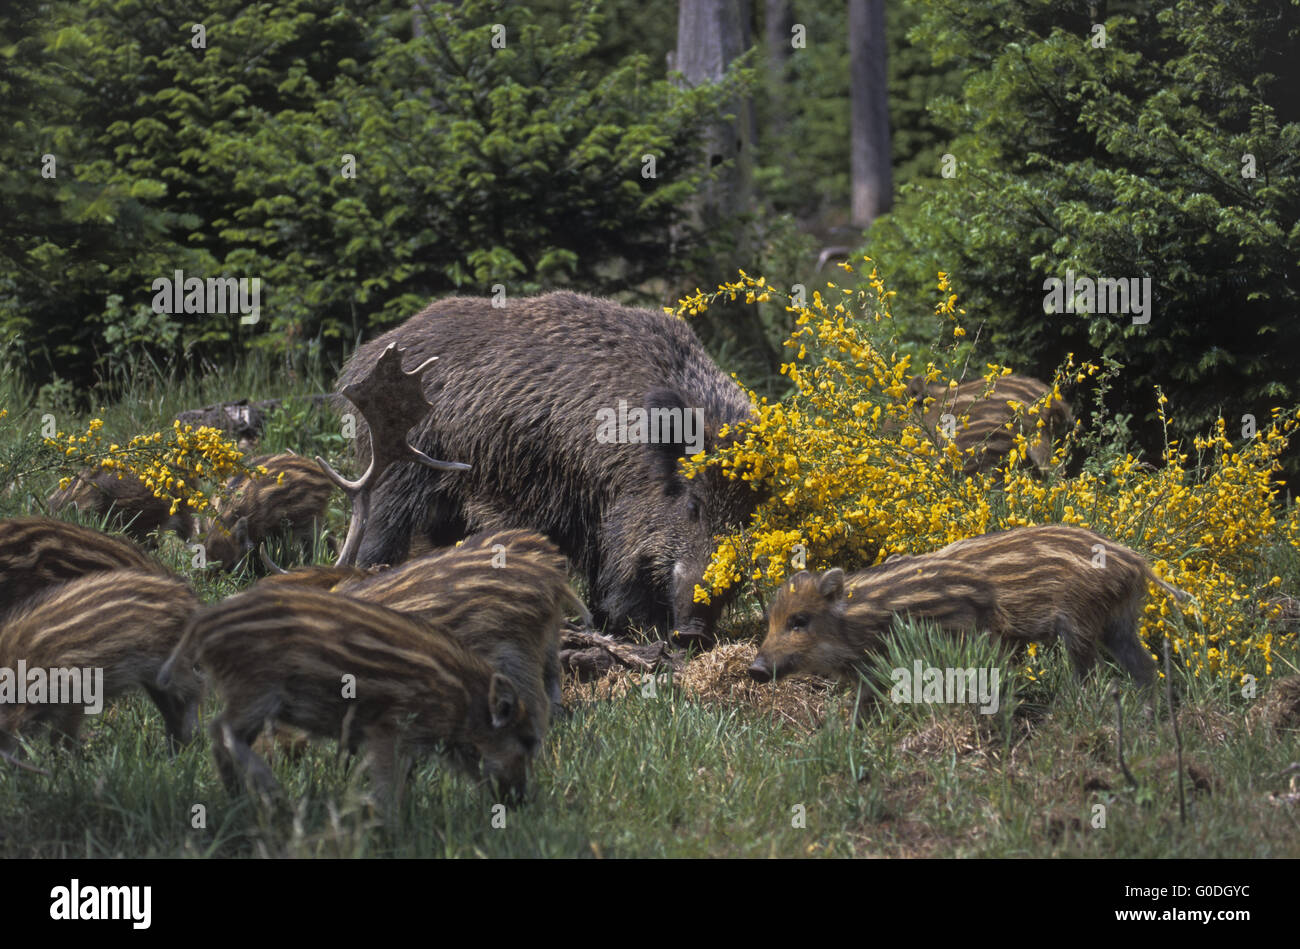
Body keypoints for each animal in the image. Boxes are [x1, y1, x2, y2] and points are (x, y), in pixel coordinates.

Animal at [336, 291, 759, 642]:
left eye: (747, 519)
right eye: (693, 506)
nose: (694, 632)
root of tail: (368, 354)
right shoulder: (614, 513)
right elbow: (621, 581)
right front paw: (636, 631)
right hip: (401, 469)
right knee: (381, 532)